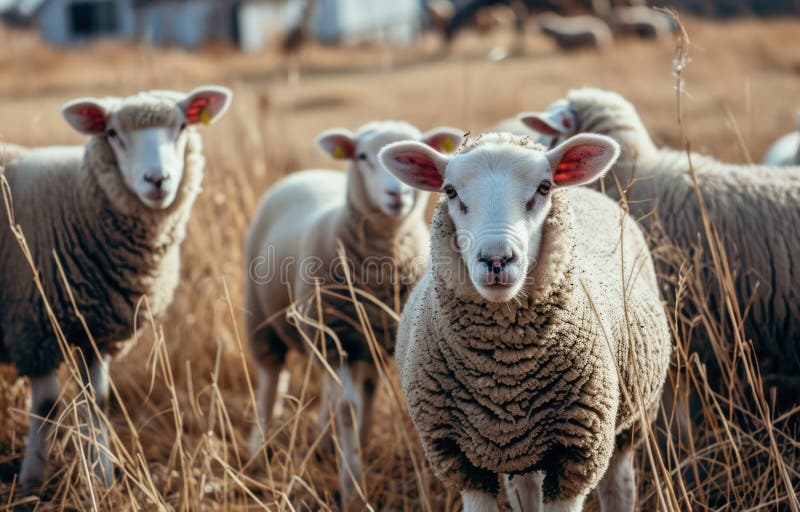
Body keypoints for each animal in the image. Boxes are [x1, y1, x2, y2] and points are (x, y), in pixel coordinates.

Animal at [0, 86, 232, 490]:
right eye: (111, 133)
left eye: (182, 126)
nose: (157, 180)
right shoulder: (34, 328)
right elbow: (47, 409)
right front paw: (31, 484)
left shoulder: (96, 333)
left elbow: (98, 403)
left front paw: (103, 480)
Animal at [244, 120, 462, 500]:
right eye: (362, 156)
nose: (396, 195)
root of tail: (304, 174)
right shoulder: (336, 337)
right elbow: (348, 408)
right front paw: (352, 485)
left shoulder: (374, 341)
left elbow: (368, 398)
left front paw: (358, 446)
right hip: (263, 322)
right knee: (270, 382)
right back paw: (260, 450)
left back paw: (322, 441)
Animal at [379, 132, 671, 511]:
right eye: (450, 191)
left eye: (544, 187)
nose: (496, 260)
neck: (507, 372)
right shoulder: (459, 456)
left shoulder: (577, 452)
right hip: (520, 450)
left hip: (630, 419)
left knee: (618, 484)